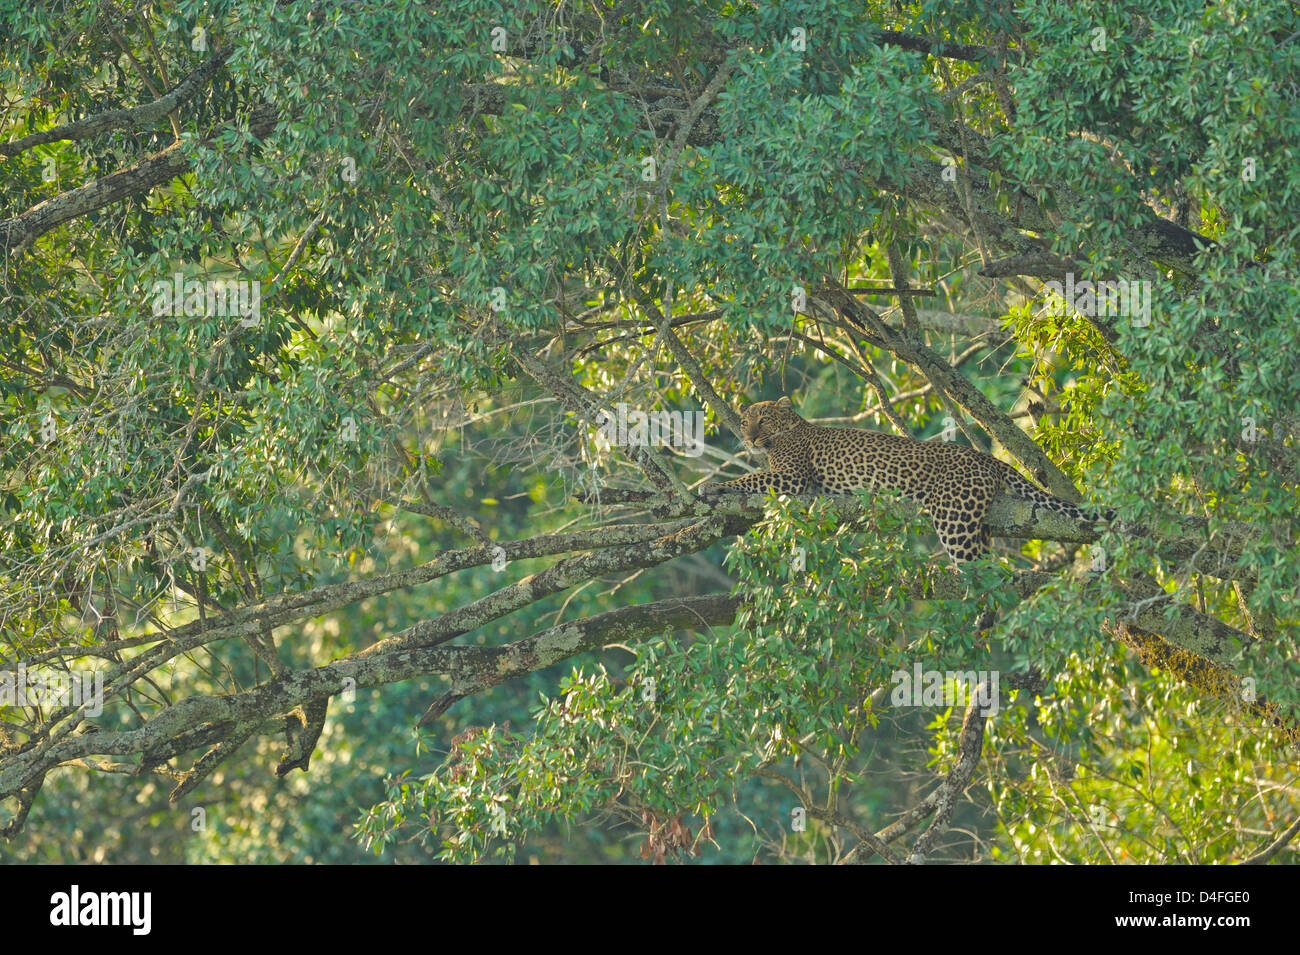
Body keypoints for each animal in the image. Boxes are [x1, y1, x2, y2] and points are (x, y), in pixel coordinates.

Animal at [699, 396, 1110, 562]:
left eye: (763, 420)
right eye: (744, 421)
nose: (750, 437)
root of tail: (982, 456)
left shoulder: (791, 476)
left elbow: (750, 479)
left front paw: (713, 487)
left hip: (954, 515)